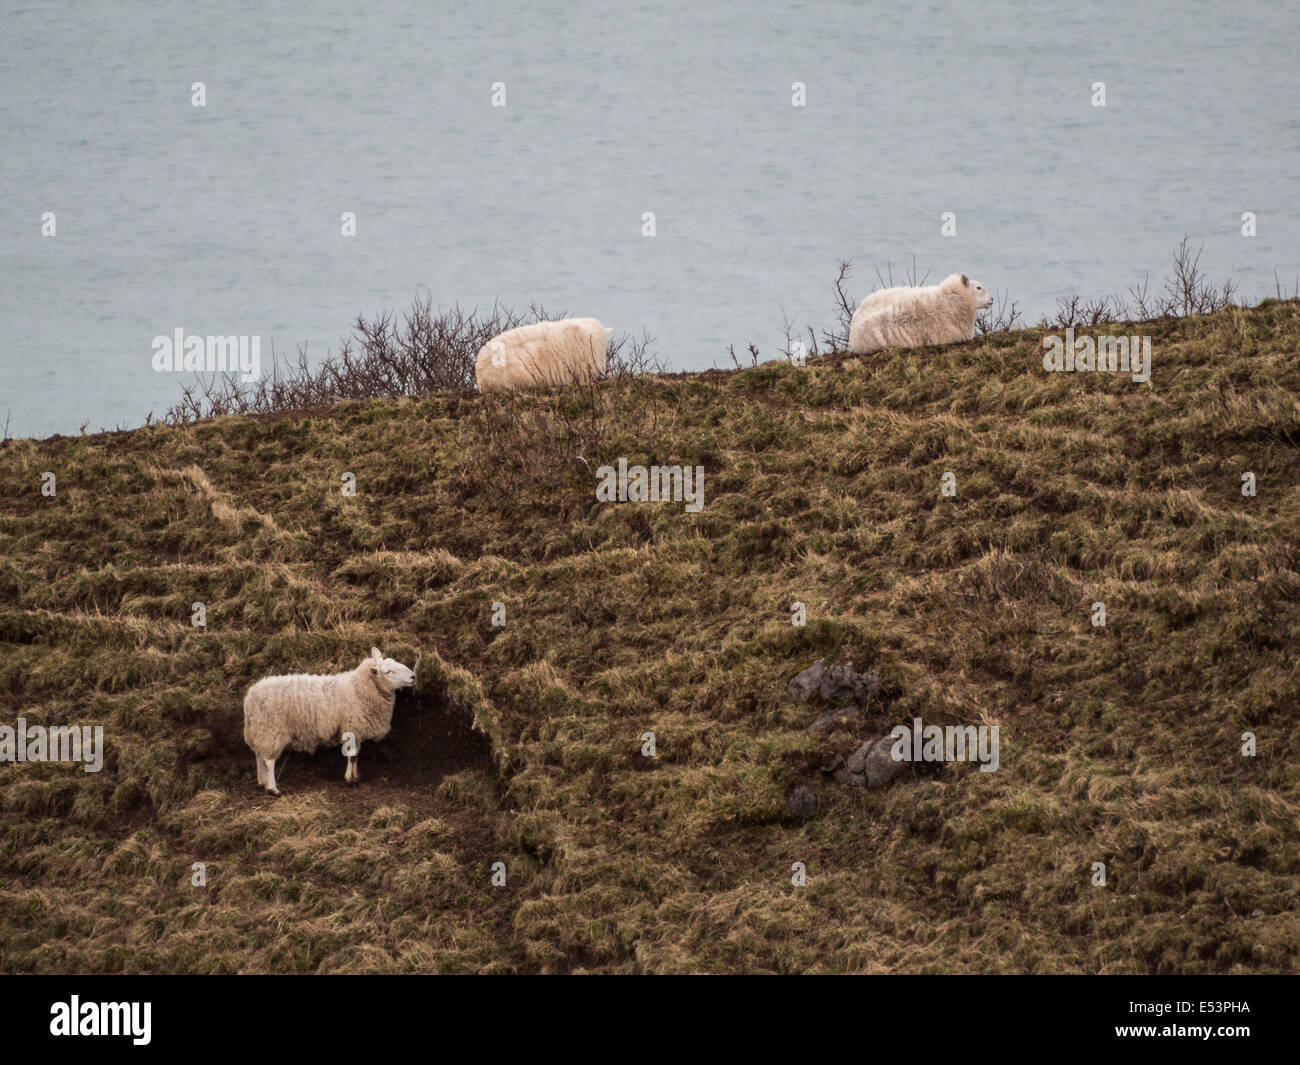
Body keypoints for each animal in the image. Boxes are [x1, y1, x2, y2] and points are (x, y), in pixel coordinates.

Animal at [242, 647, 416, 795]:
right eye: (388, 671)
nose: (413, 676)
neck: (359, 689)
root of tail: (250, 696)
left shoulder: (357, 731)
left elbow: (356, 755)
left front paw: (356, 775)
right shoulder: (351, 727)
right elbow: (352, 756)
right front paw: (350, 780)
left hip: (259, 730)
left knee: (259, 755)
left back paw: (261, 781)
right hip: (271, 729)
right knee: (269, 760)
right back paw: (273, 788)